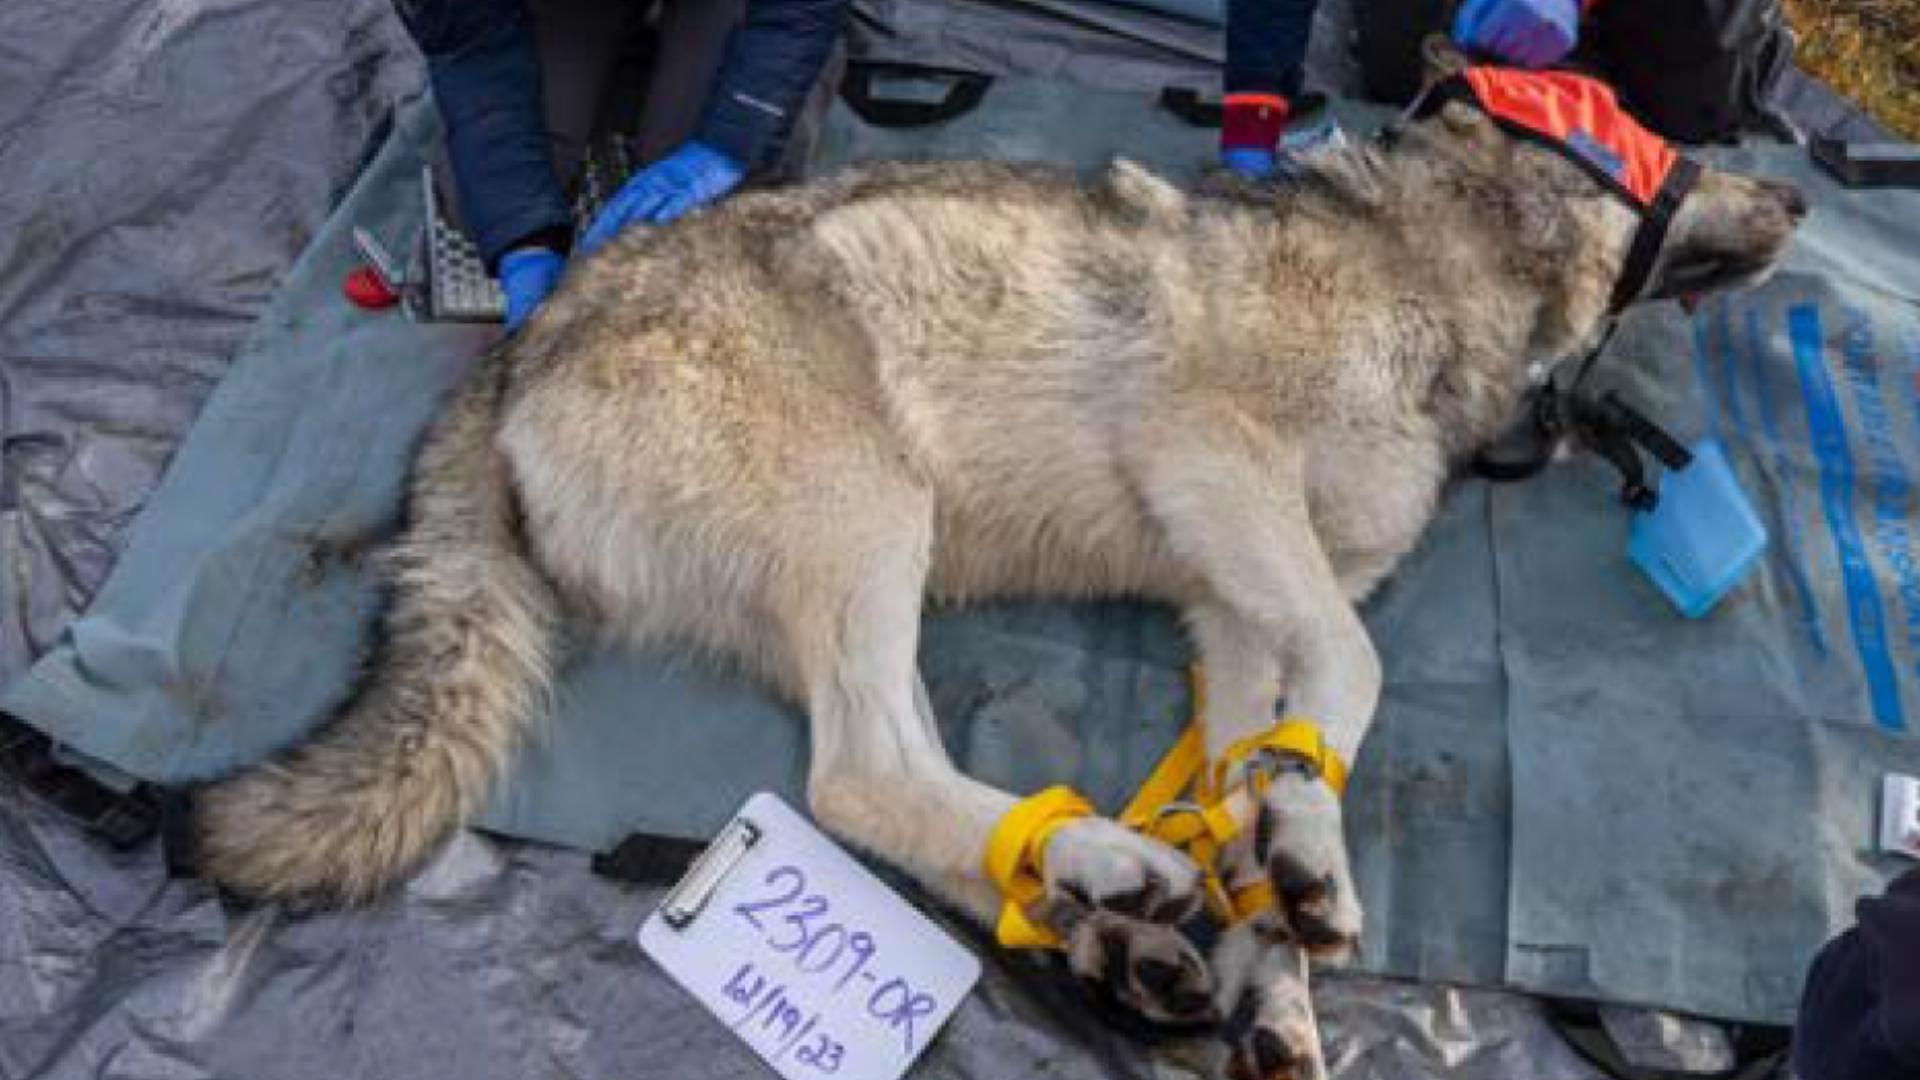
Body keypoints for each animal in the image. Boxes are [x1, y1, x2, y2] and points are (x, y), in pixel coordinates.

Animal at [197, 65, 1801, 1079]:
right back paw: (1109, 871)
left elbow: (1269, 758)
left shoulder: (1228, 611)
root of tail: (518, 344)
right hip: (874, 515)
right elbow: (1355, 672)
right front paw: (1305, 862)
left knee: (900, 792)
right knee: (852, 779)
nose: (1793, 209)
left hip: (877, 571)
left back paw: (1106, 921)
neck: (1426, 268)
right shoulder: (1214, 468)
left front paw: (1271, 962)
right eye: (1661, 144)